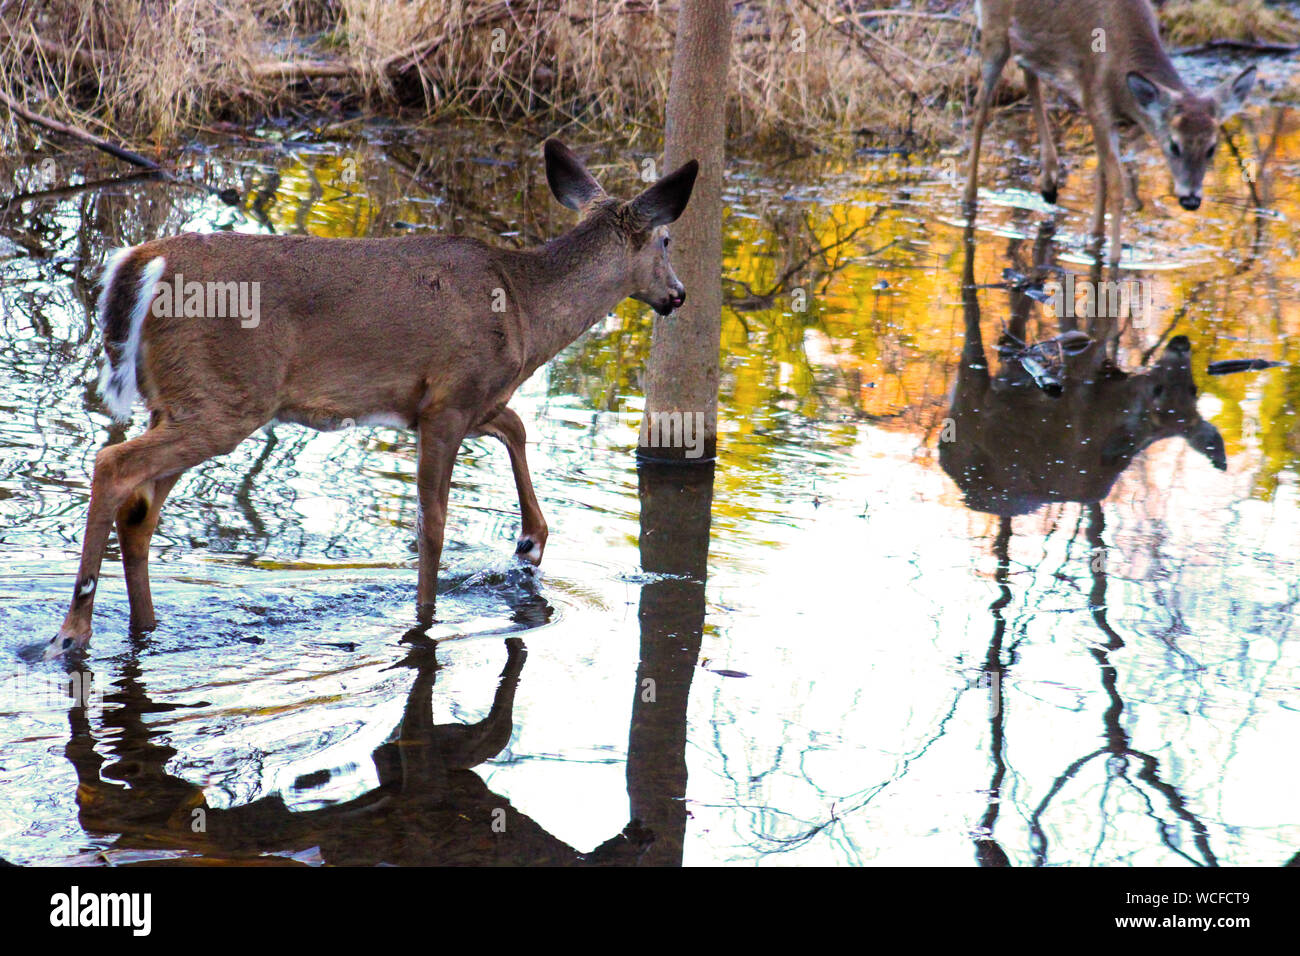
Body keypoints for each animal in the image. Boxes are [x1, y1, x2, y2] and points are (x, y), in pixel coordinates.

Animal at [46, 140, 698, 660]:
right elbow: (432, 522)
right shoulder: (450, 400)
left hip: (181, 398)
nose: (679, 294)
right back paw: (72, 632)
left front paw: (530, 540)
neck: (522, 309)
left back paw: (145, 628)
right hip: (226, 398)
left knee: (140, 510)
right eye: (667, 240)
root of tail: (141, 261)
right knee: (113, 466)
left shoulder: (452, 400)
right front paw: (426, 617)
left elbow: (514, 424)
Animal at [964, 0, 1256, 263]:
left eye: (1211, 148)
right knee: (980, 107)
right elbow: (1116, 183)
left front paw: (1095, 239)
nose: (1191, 200)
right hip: (994, 29)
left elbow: (1102, 173)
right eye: (1174, 145)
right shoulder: (1095, 102)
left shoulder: (1108, 115)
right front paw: (1113, 258)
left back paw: (1049, 182)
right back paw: (969, 198)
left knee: (1028, 71)